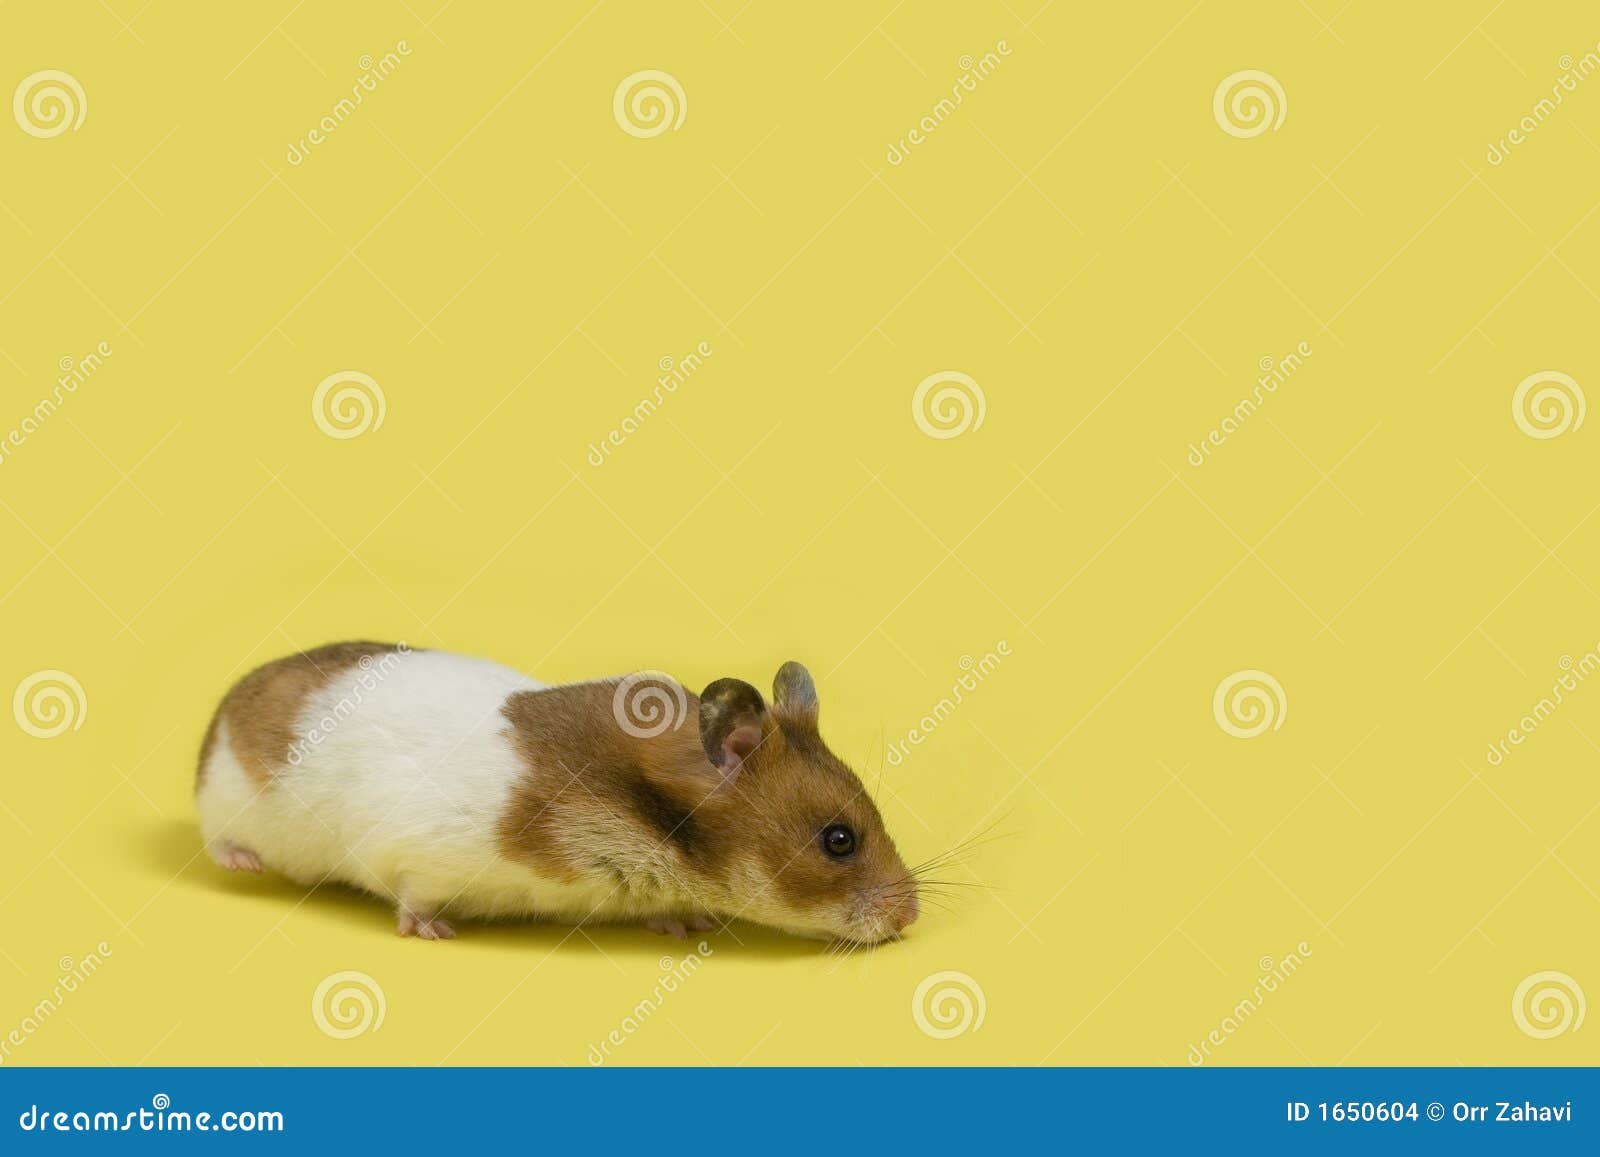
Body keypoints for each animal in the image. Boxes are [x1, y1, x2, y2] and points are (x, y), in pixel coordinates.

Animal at [194, 642, 919, 944]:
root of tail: (228, 700)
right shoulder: (419, 854)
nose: (911, 919)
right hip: (227, 801)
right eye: (838, 840)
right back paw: (243, 863)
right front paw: (433, 932)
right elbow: (413, 896)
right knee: (218, 839)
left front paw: (686, 923)